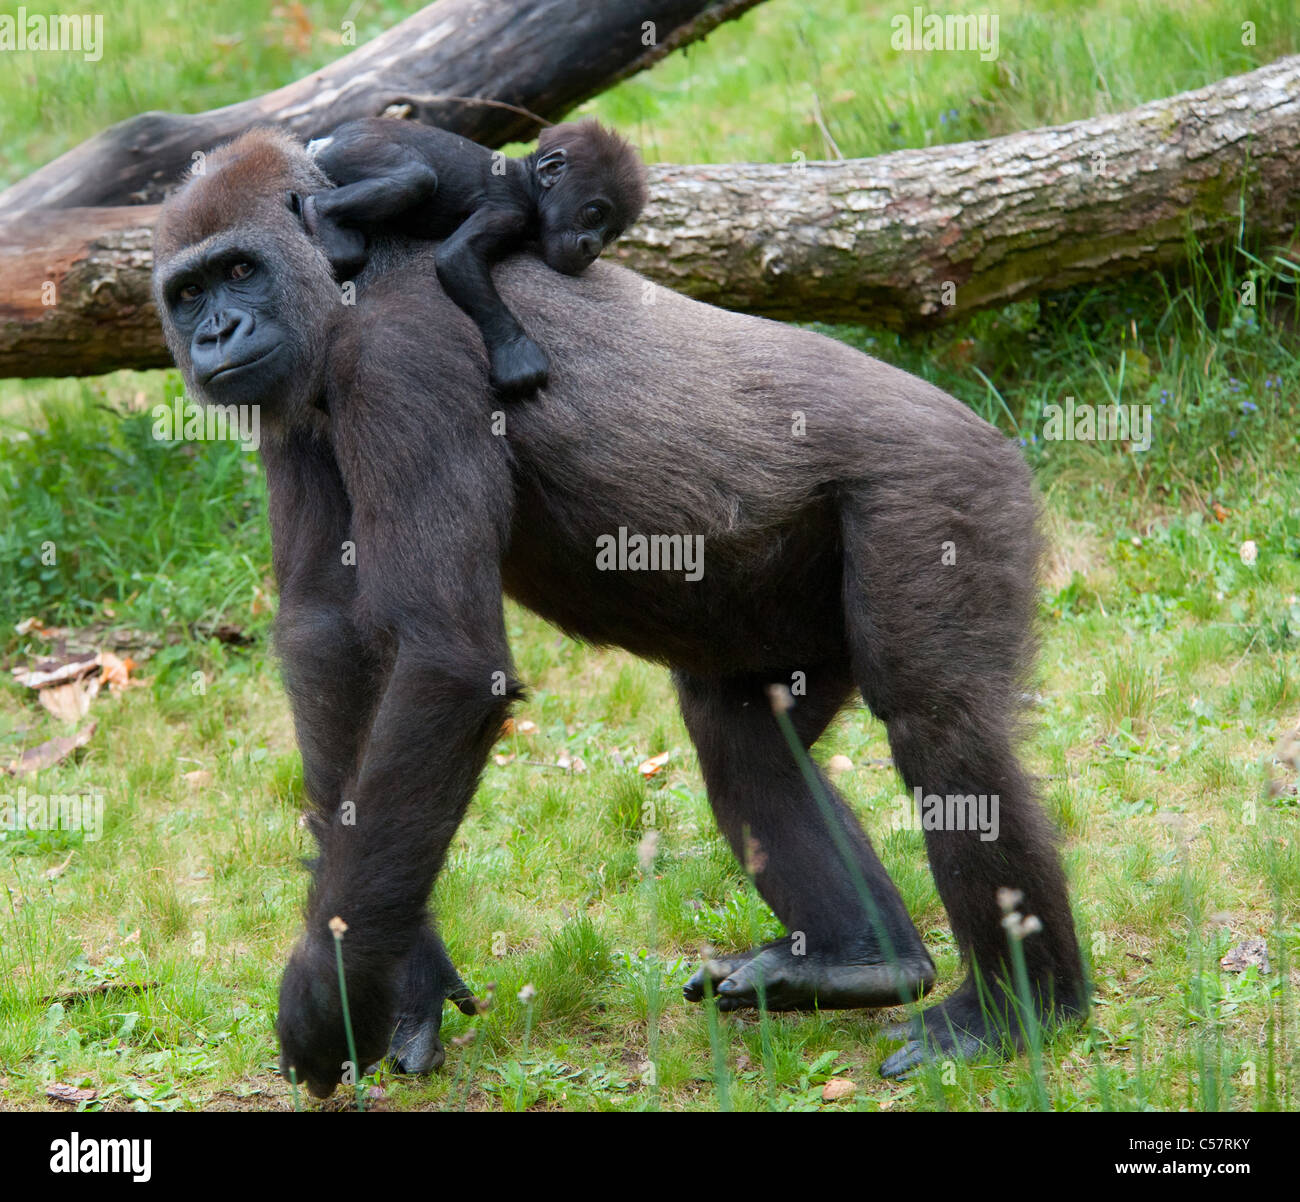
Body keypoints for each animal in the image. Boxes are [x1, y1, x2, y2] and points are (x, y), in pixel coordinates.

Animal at [297, 117, 647, 397]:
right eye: (594, 213)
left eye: (611, 234)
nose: (593, 248)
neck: (530, 186)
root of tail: (328, 138)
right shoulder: (509, 209)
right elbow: (456, 256)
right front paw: (516, 353)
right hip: (358, 146)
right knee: (416, 177)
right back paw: (322, 215)